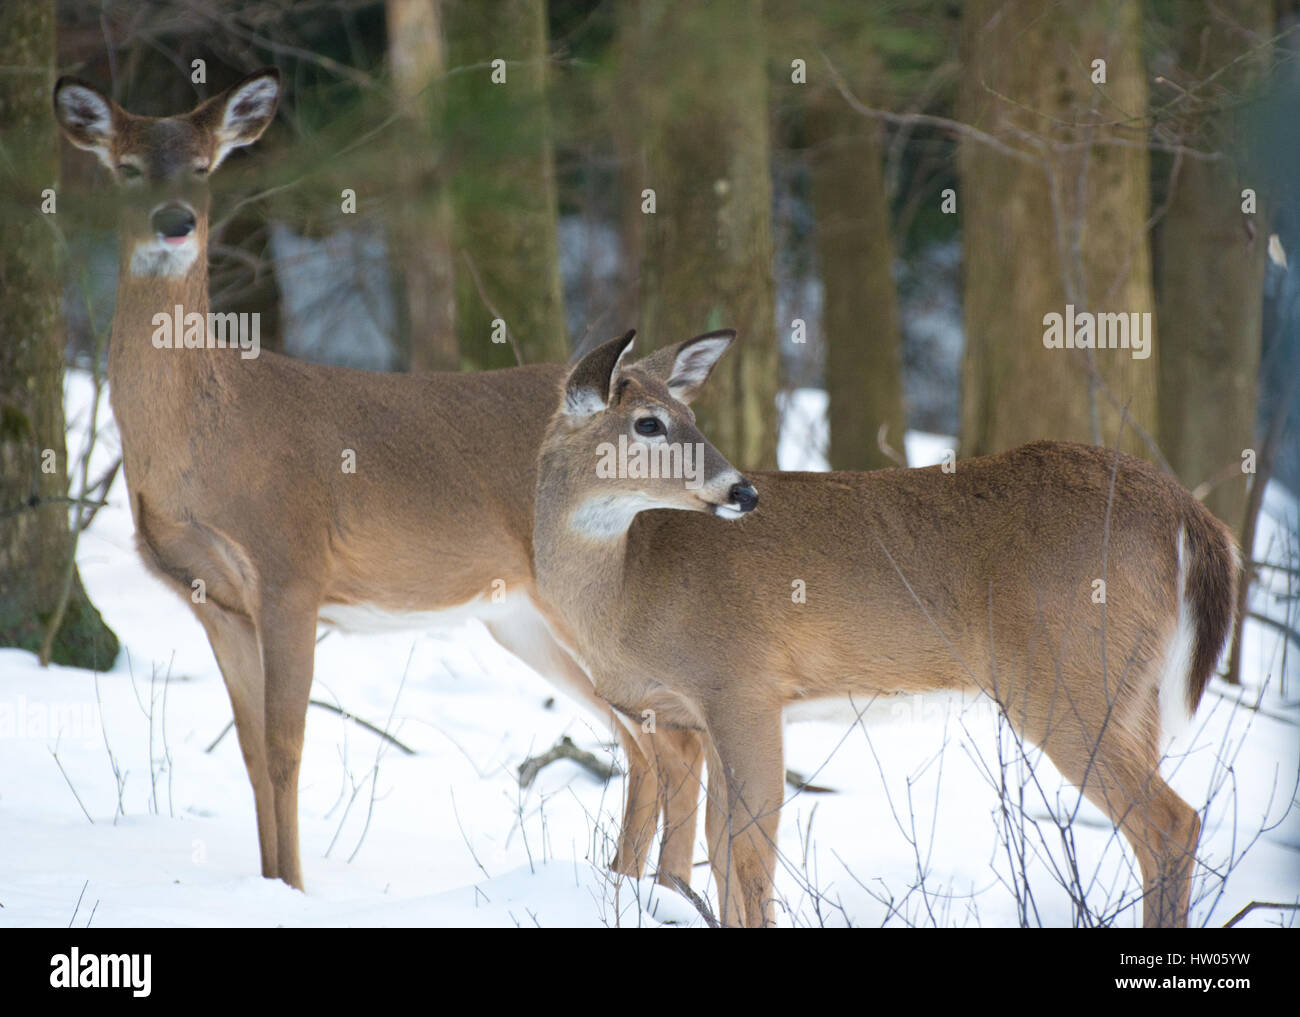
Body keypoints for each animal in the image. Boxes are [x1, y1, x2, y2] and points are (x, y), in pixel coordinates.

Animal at [53, 69, 701, 891]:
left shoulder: (292, 567)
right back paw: (628, 886)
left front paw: (296, 887)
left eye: (202, 168)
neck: (204, 442)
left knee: (673, 740)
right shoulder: (214, 600)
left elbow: (288, 747)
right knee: (645, 746)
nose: (174, 223)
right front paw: (268, 882)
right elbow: (251, 751)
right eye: (128, 168)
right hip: (520, 616)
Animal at [532, 329, 1240, 928]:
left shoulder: (741, 684)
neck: (626, 589)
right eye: (649, 423)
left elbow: (747, 843)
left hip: (1068, 677)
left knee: (1172, 822)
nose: (744, 492)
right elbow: (699, 846)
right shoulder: (679, 716)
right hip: (1134, 692)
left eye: (692, 419)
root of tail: (1191, 514)